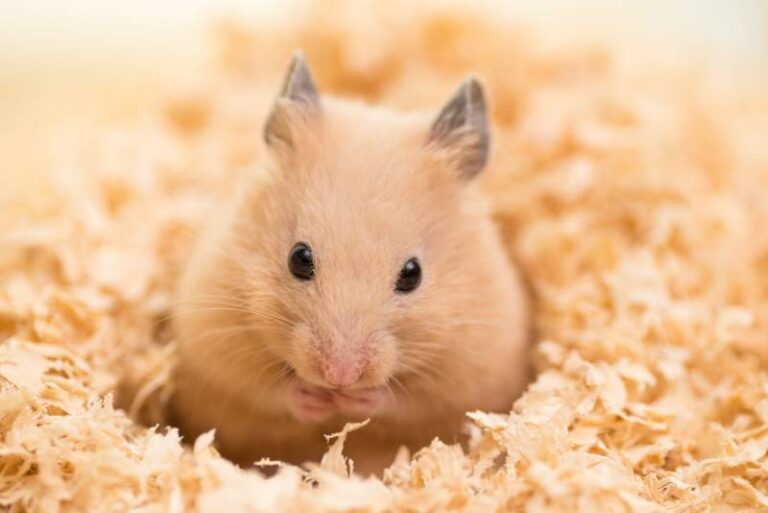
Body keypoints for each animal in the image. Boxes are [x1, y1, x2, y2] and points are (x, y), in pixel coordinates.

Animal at [170, 52, 530, 475]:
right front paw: (315, 398)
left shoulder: (474, 366)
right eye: (299, 258)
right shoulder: (213, 334)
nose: (338, 377)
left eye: (413, 274)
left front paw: (354, 400)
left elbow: (409, 402)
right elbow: (263, 388)